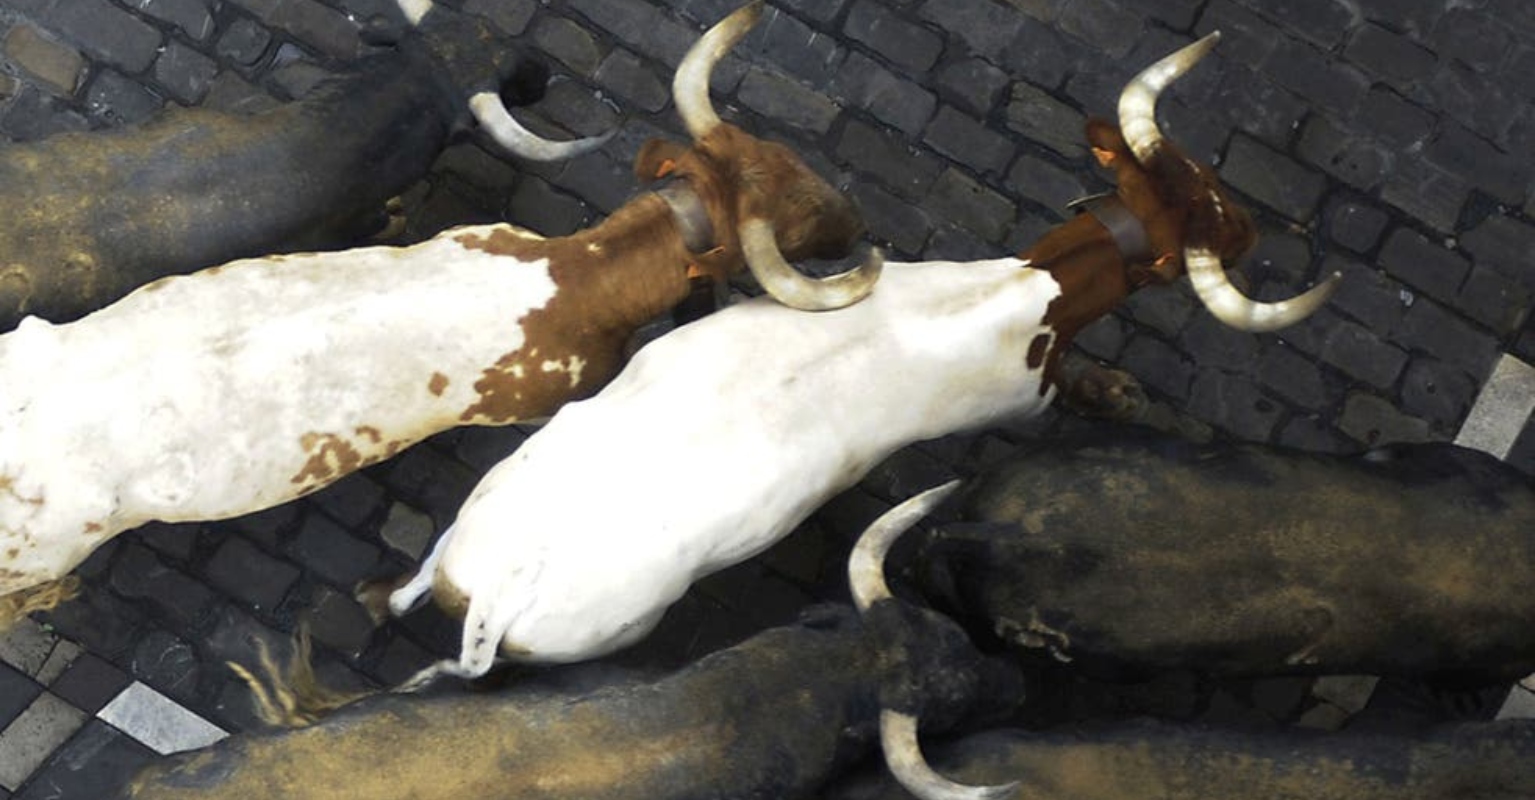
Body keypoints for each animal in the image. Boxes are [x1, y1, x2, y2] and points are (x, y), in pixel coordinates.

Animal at [376, 32, 1337, 690]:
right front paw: (1115, 390)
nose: (1252, 230)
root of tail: (495, 599)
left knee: (410, 588)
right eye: (1205, 223)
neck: (1020, 295)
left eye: (1201, 178)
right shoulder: (1021, 395)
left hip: (468, 527)